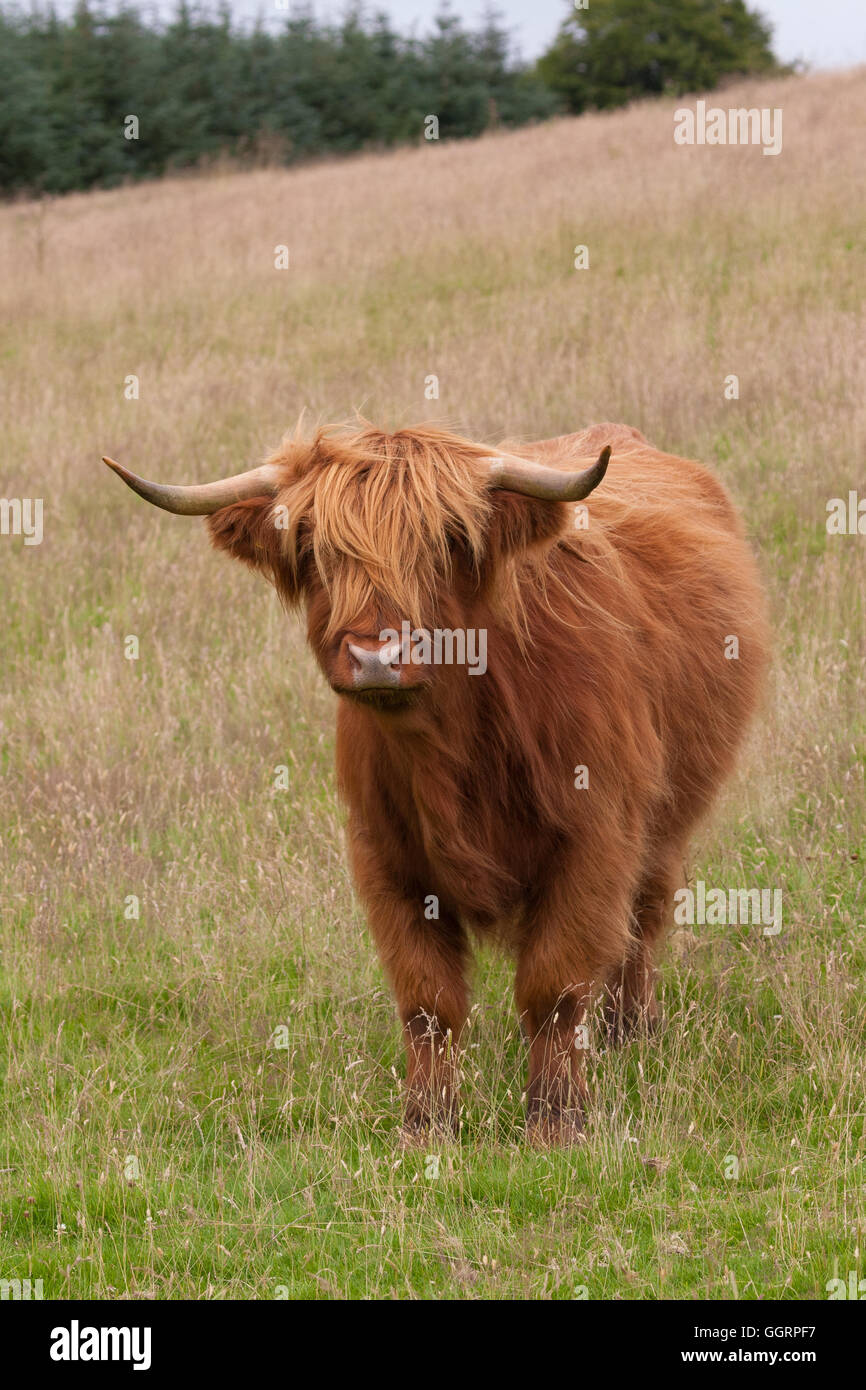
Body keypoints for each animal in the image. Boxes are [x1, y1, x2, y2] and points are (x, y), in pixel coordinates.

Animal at [105, 420, 769, 1145]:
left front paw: (556, 1119)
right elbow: (427, 1001)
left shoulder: (596, 838)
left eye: (445, 542)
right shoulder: (385, 856)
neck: (453, 744)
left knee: (644, 919)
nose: (375, 657)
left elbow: (556, 987)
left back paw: (631, 1030)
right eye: (311, 547)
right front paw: (426, 1124)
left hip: (668, 817)